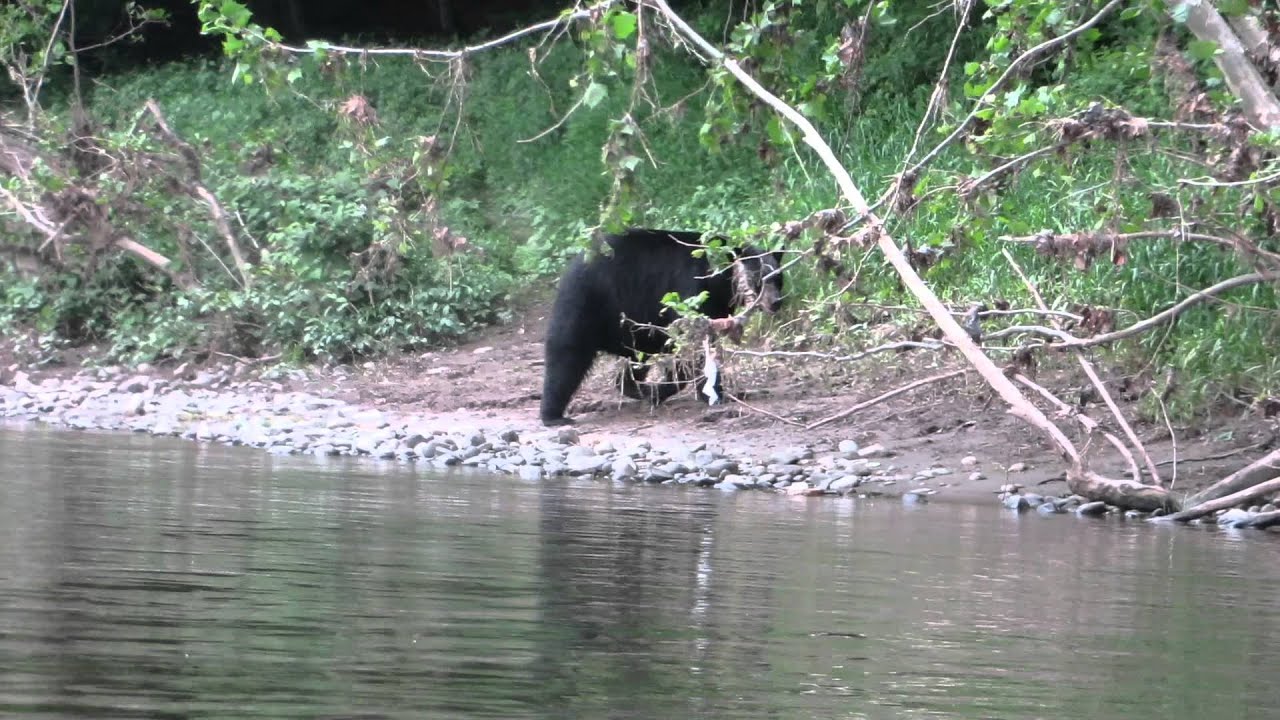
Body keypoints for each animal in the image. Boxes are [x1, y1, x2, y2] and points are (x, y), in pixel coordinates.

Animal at [539, 228, 785, 427]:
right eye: (759, 279)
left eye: (779, 278)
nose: (776, 302)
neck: (718, 279)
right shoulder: (692, 291)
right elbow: (691, 350)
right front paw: (710, 393)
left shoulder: (715, 307)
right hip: (586, 305)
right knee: (566, 358)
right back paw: (554, 416)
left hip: (635, 332)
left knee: (633, 364)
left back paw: (636, 388)